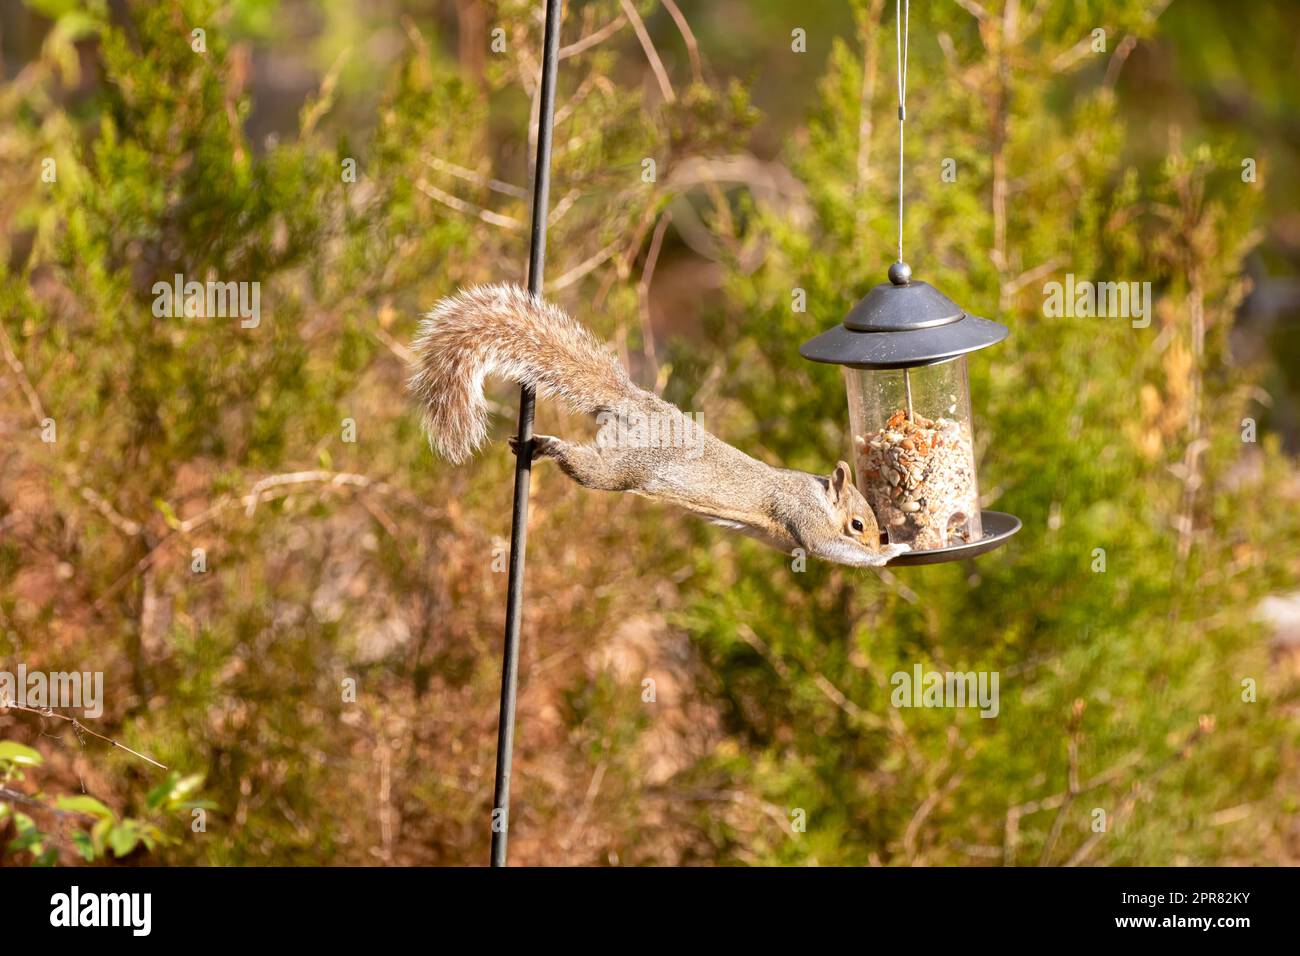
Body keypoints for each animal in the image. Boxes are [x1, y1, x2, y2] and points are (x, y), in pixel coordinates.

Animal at [408, 283, 908, 567]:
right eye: (858, 524)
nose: (880, 537)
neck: (818, 495)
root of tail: (638, 403)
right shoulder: (803, 516)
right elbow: (828, 547)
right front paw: (889, 553)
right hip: (624, 466)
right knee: (587, 466)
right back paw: (550, 445)